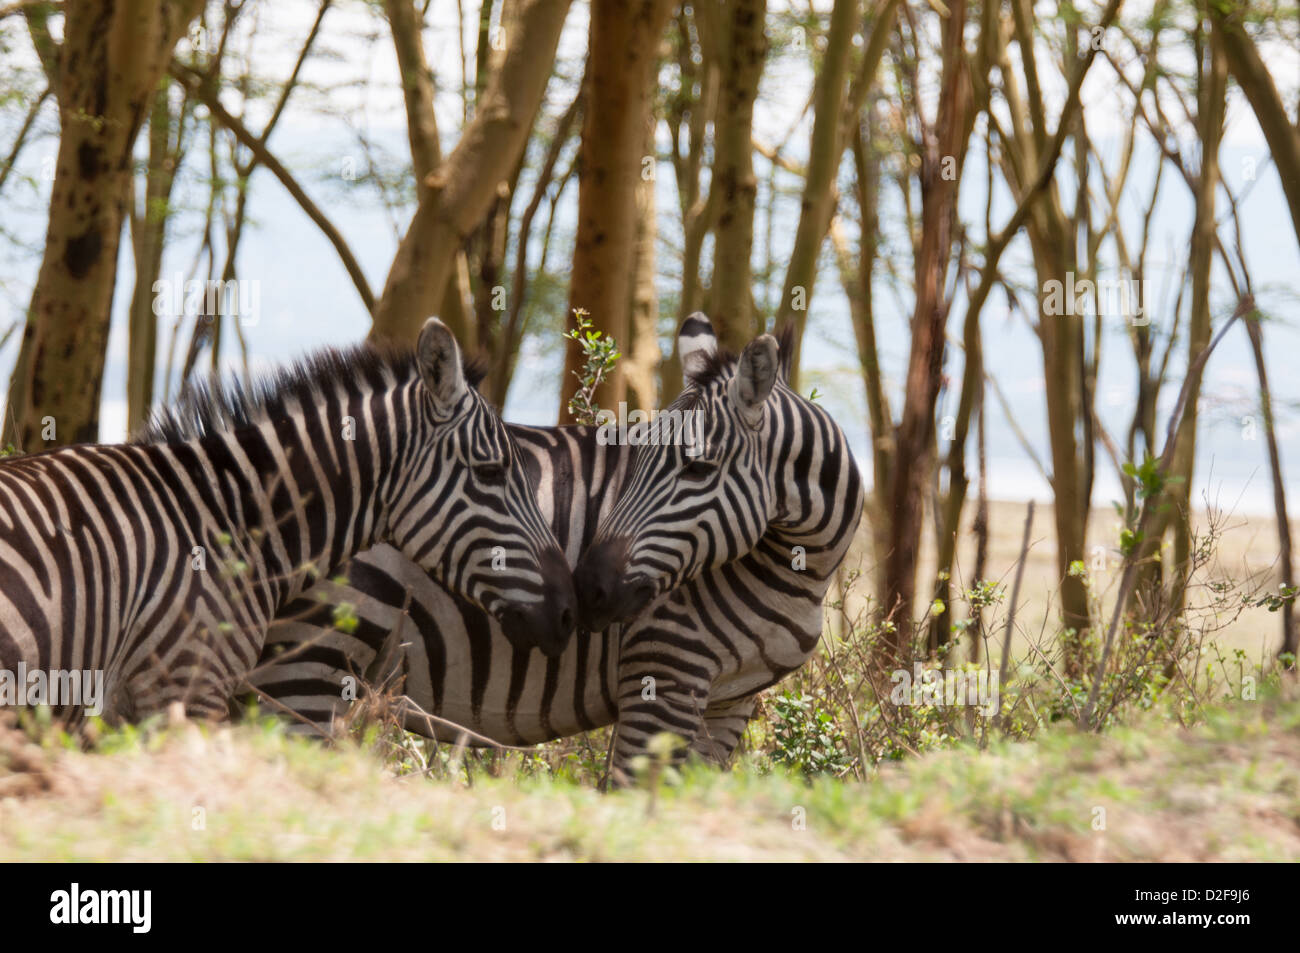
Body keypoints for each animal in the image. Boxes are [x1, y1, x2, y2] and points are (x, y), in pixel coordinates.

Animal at [249, 314, 863, 783]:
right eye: (634, 459)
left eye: (697, 468)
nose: (586, 588)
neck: (803, 570)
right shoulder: (662, 666)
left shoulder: (729, 702)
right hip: (309, 659)